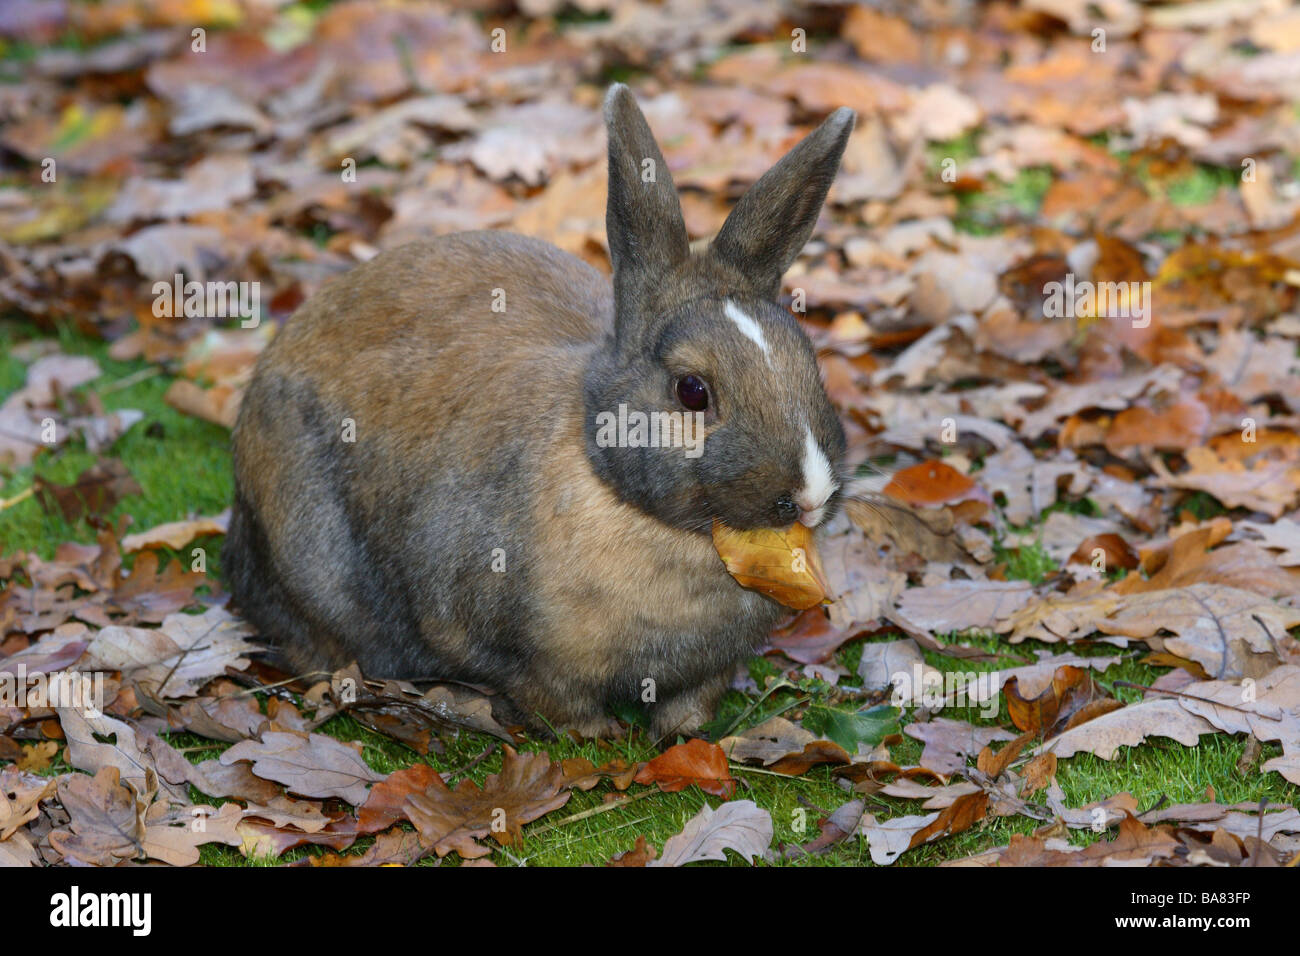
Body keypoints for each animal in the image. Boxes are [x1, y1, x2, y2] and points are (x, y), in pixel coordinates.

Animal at [225, 85, 854, 739]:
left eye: (810, 361)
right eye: (691, 391)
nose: (811, 495)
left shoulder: (710, 670)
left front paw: (682, 733)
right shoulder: (507, 650)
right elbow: (550, 697)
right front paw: (596, 735)